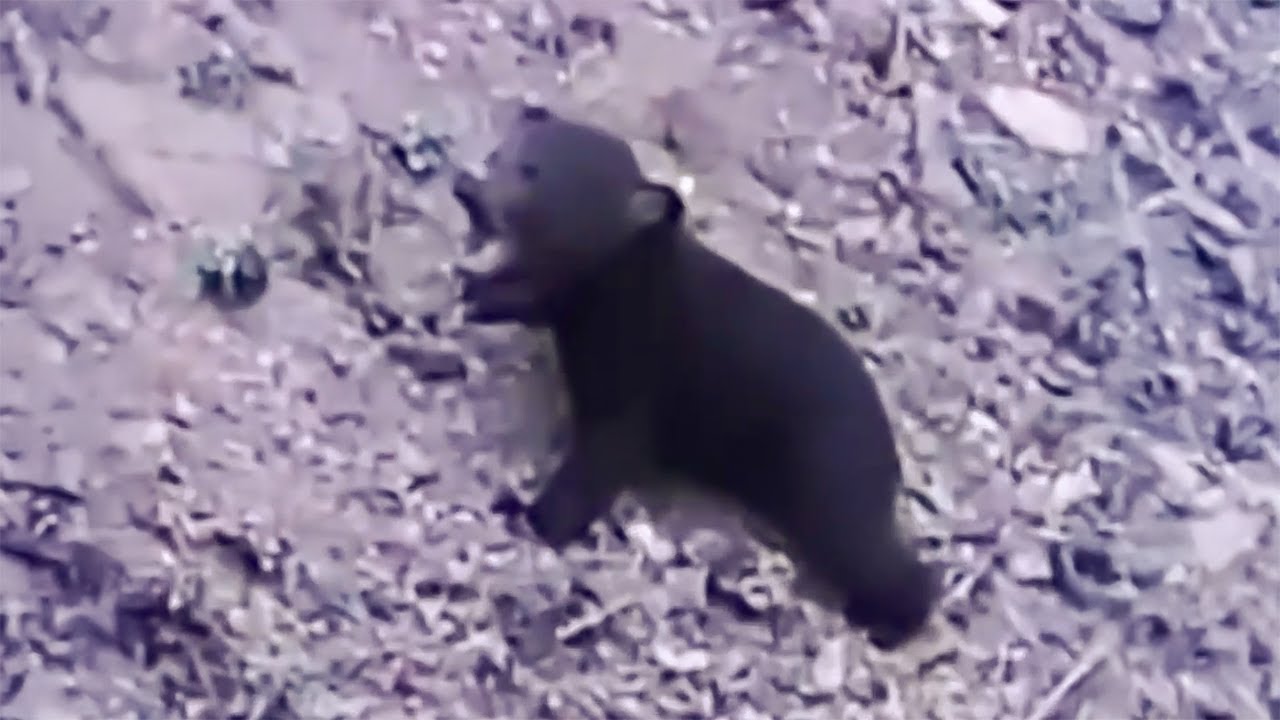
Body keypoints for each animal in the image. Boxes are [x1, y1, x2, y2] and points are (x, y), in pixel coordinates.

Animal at [452, 105, 938, 649]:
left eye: (532, 173)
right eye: (501, 154)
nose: (467, 191)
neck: (624, 284)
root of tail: (887, 444)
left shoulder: (637, 390)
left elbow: (596, 466)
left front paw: (533, 518)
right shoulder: (567, 298)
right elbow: (532, 295)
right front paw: (478, 293)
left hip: (832, 481)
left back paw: (890, 623)